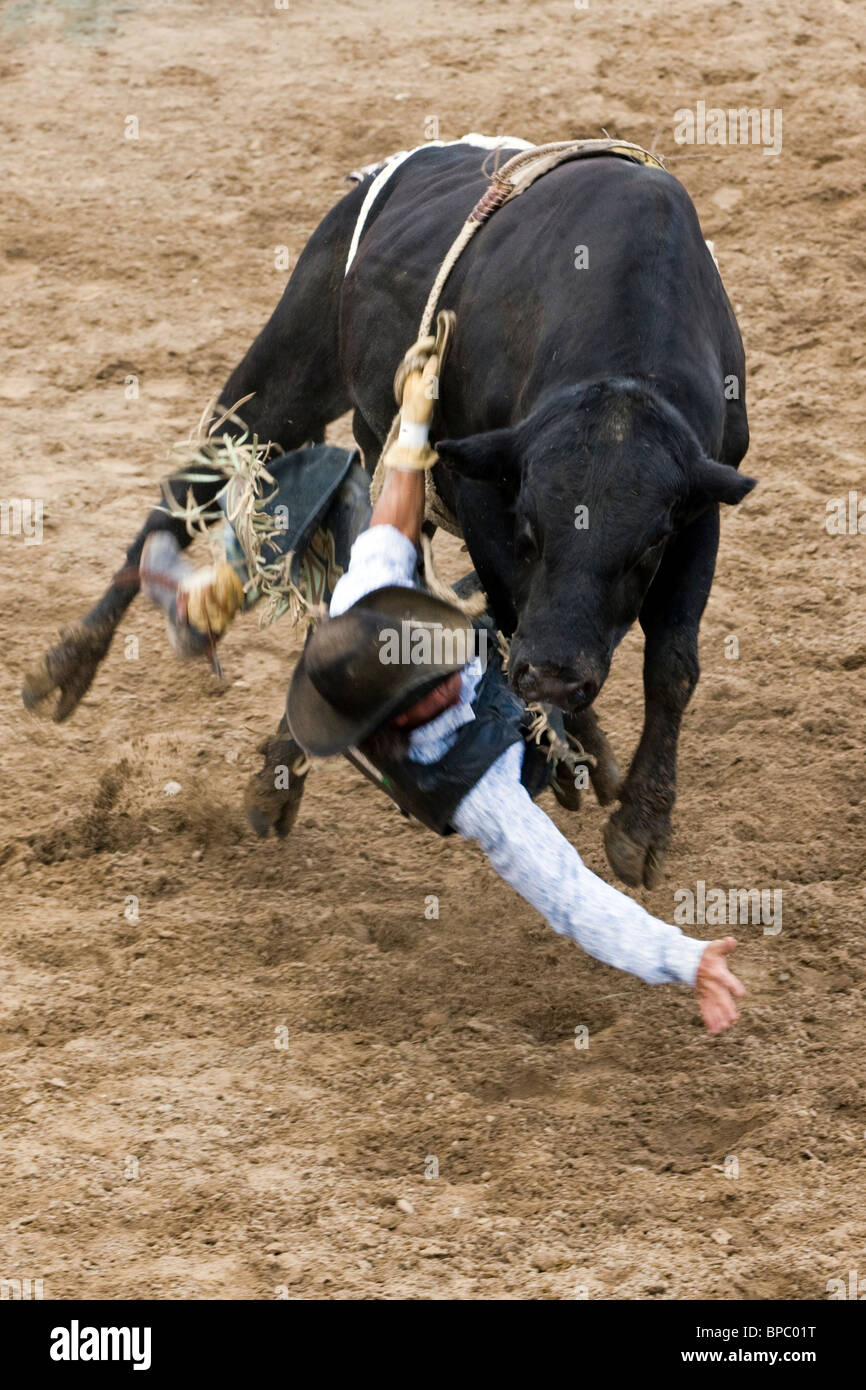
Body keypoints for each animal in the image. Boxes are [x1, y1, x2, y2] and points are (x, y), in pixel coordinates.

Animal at [24, 138, 753, 888]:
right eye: (528, 527)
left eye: (648, 547)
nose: (555, 674)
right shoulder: (482, 485)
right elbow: (511, 610)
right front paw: (580, 752)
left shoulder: (701, 509)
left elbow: (672, 662)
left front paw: (641, 818)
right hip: (286, 373)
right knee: (193, 482)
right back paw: (68, 664)